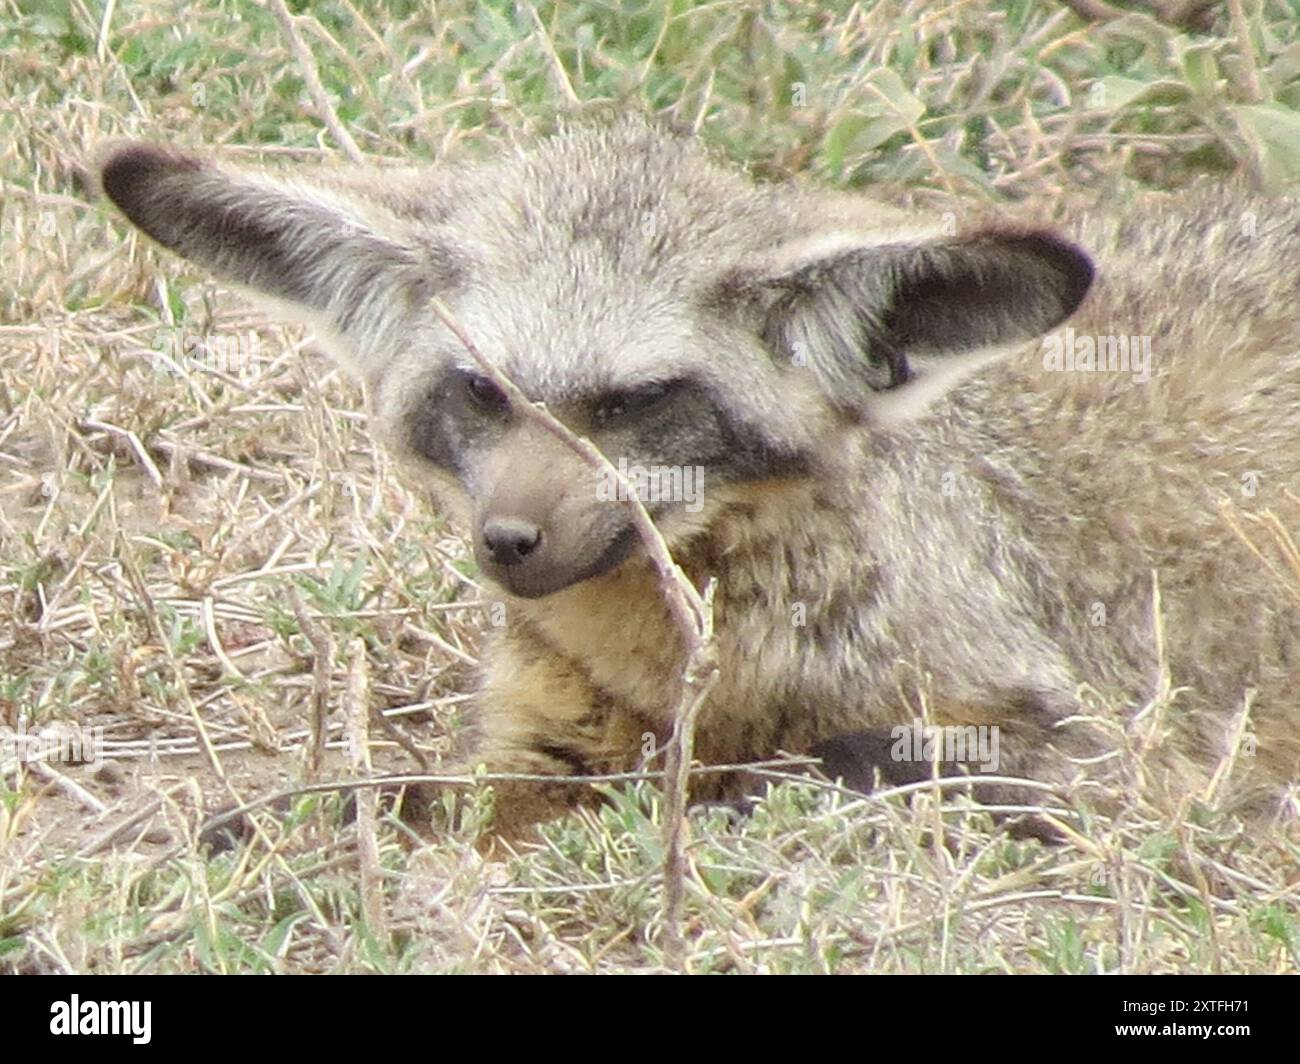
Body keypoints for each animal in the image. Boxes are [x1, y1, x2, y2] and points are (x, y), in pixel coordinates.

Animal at [98, 113, 1300, 838]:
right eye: (482, 392)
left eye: (636, 403)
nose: (508, 543)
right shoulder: (537, 744)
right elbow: (415, 801)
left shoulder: (1115, 758)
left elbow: (803, 772)